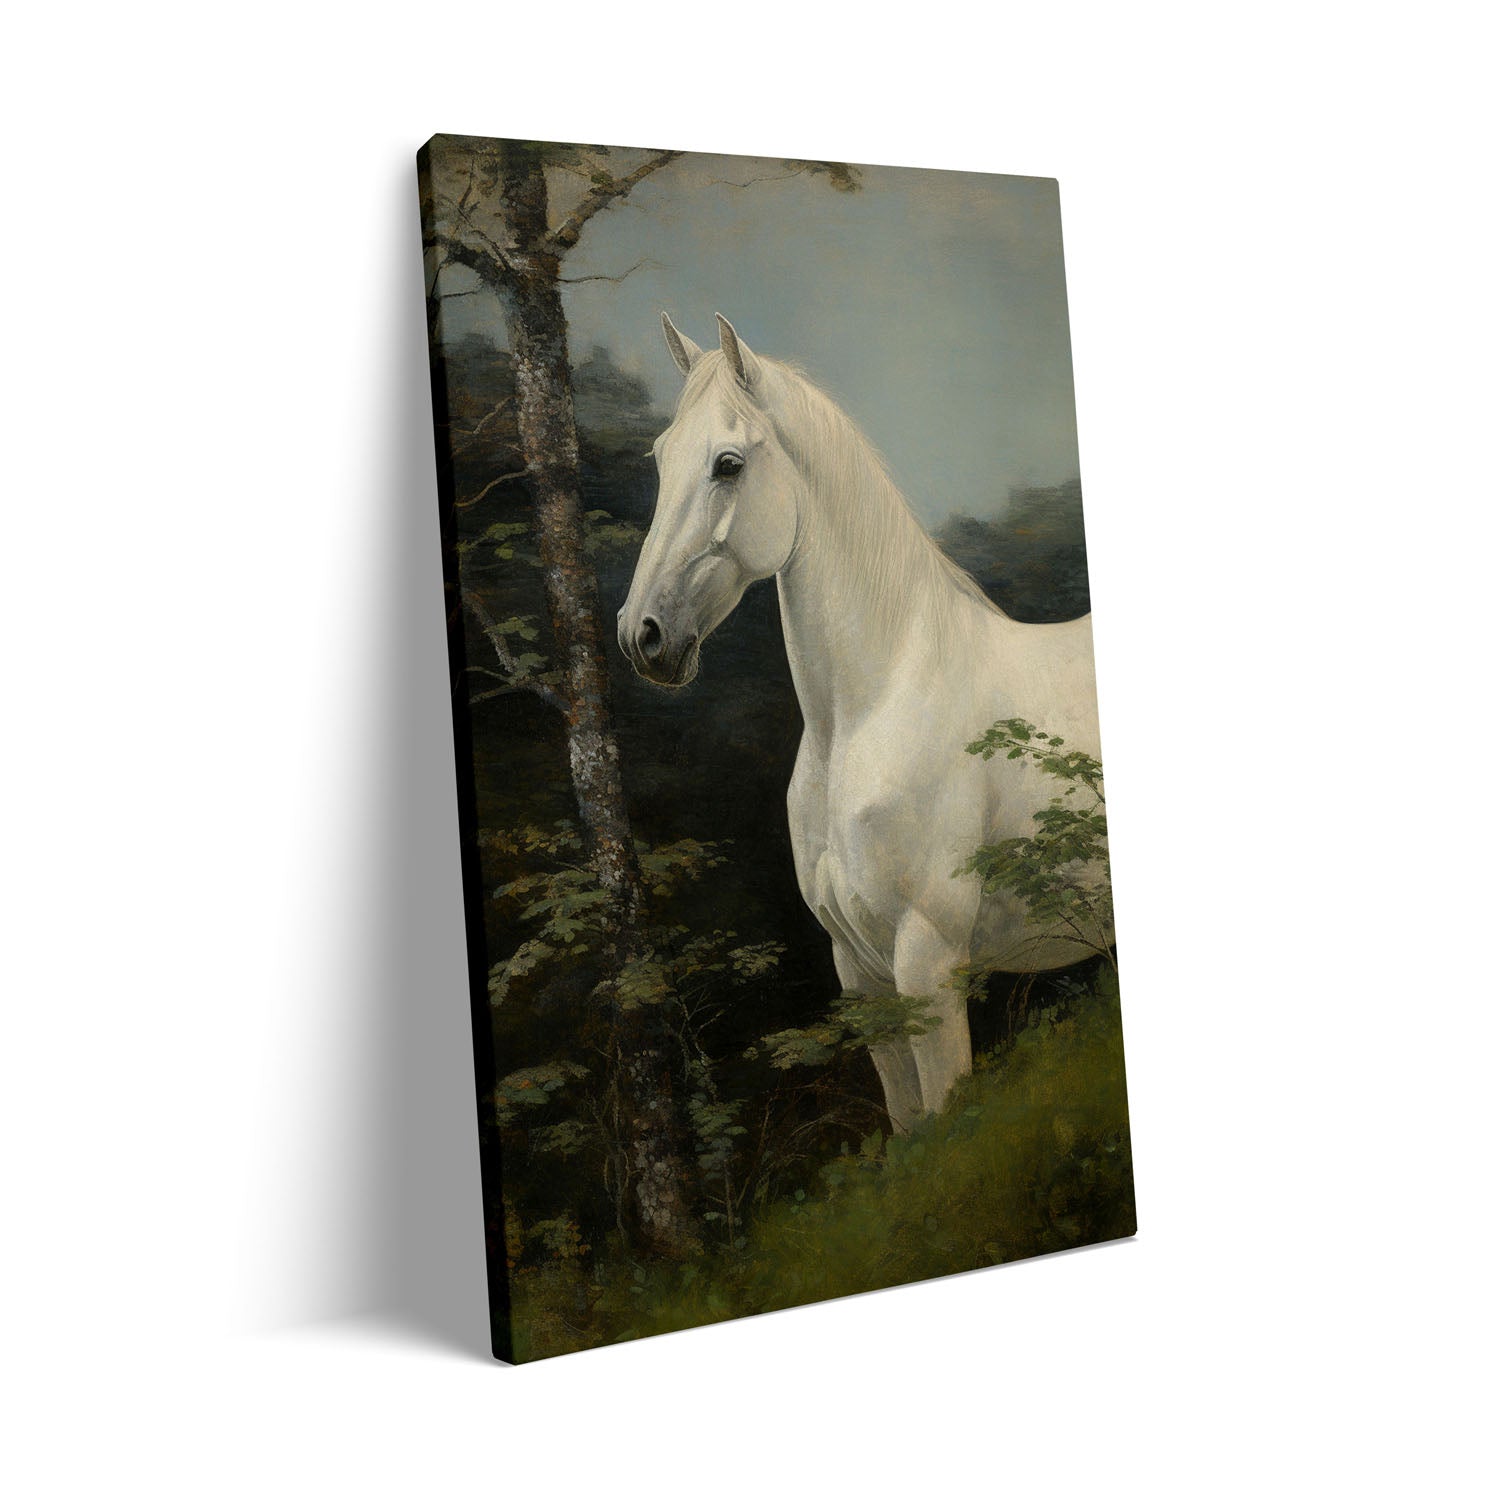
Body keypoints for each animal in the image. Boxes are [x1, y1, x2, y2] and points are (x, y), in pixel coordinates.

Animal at [618, 313, 1110, 1133]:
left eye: (727, 464)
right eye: (659, 459)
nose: (642, 637)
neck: (863, 719)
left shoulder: (927, 964)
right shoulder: (863, 976)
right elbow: (909, 1132)